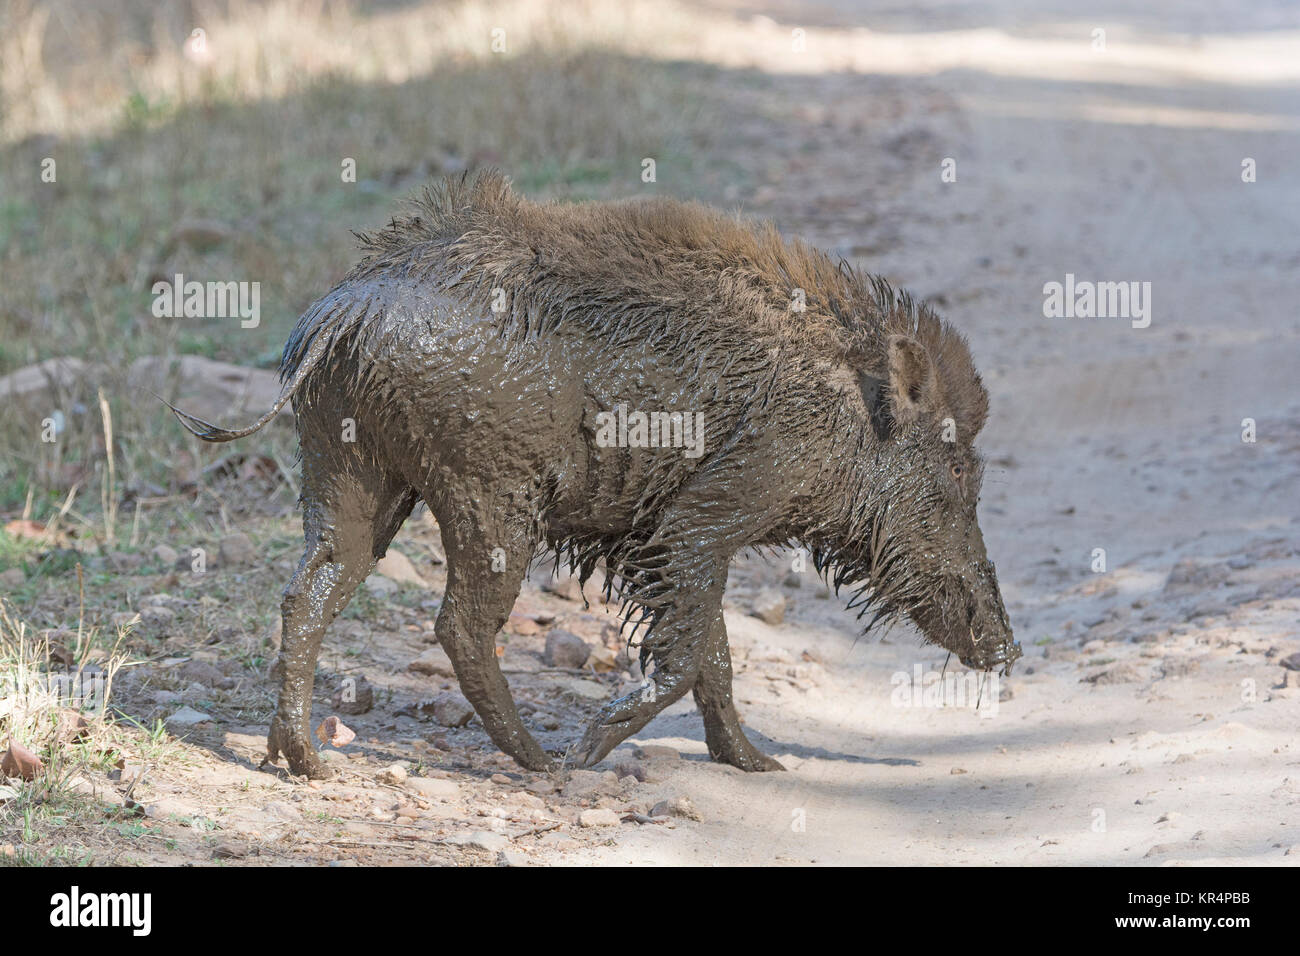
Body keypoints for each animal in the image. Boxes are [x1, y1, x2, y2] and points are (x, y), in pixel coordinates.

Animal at [171, 170, 1019, 779]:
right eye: (954, 469)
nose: (1009, 650)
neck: (844, 415)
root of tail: (349, 310)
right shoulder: (708, 512)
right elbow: (691, 653)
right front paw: (592, 749)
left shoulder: (658, 534)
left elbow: (712, 652)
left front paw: (759, 765)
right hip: (490, 492)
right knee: (458, 623)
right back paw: (544, 764)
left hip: (348, 469)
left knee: (310, 587)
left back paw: (305, 763)